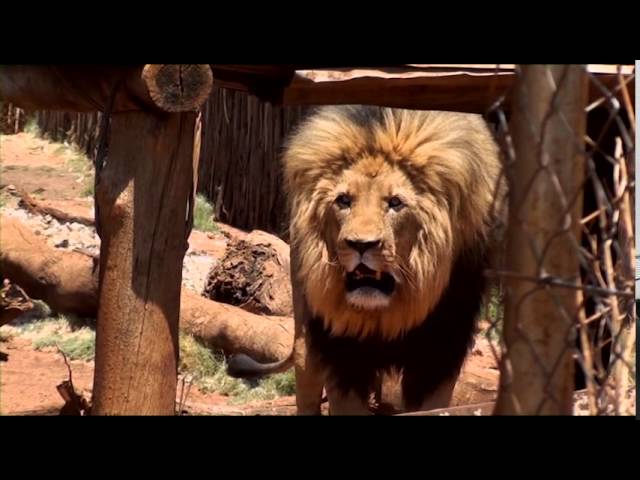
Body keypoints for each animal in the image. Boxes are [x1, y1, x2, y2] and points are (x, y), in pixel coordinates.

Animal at [227, 105, 504, 415]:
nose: (361, 245)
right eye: (344, 200)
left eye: (395, 203)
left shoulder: (439, 352)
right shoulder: (341, 350)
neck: (386, 314)